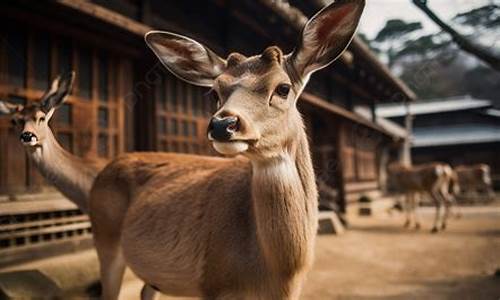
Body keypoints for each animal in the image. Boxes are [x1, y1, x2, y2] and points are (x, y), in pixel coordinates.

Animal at [88, 1, 366, 298]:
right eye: (214, 92)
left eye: (283, 88)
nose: (223, 124)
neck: (279, 273)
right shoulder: (214, 284)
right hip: (105, 239)